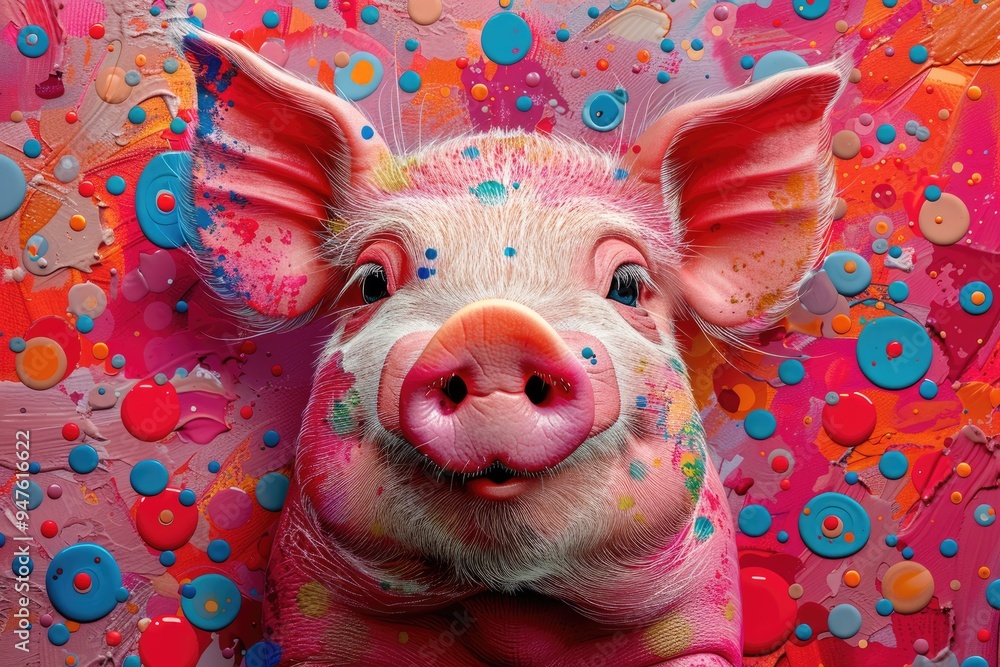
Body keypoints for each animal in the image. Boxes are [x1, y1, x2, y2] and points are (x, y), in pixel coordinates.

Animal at [181, 29, 844, 666]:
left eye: (627, 284)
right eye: (372, 281)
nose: (492, 328)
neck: (510, 613)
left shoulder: (700, 617)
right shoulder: (310, 618)